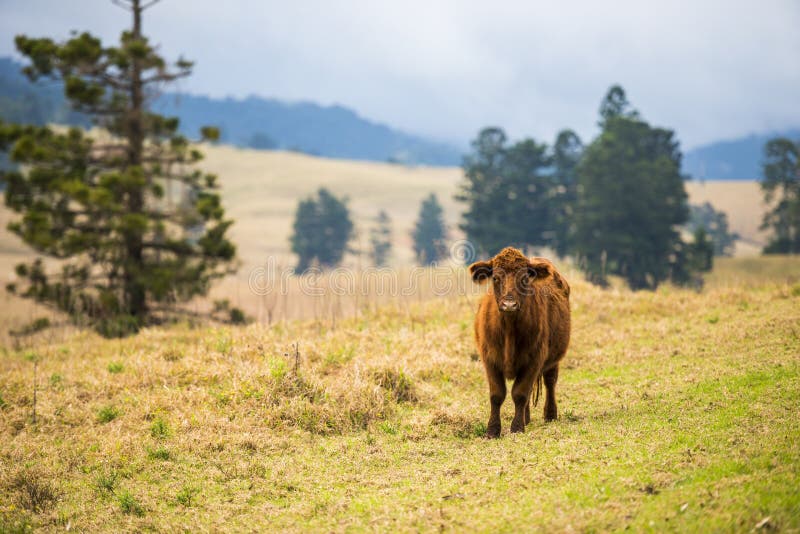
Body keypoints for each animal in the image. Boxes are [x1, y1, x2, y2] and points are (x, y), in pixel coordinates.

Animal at [469, 247, 571, 438]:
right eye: (495, 278)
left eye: (524, 278)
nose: (509, 304)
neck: (509, 331)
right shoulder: (489, 359)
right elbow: (497, 395)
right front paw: (492, 430)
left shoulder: (534, 359)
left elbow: (520, 393)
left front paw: (516, 428)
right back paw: (527, 418)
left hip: (554, 359)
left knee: (550, 381)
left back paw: (550, 415)